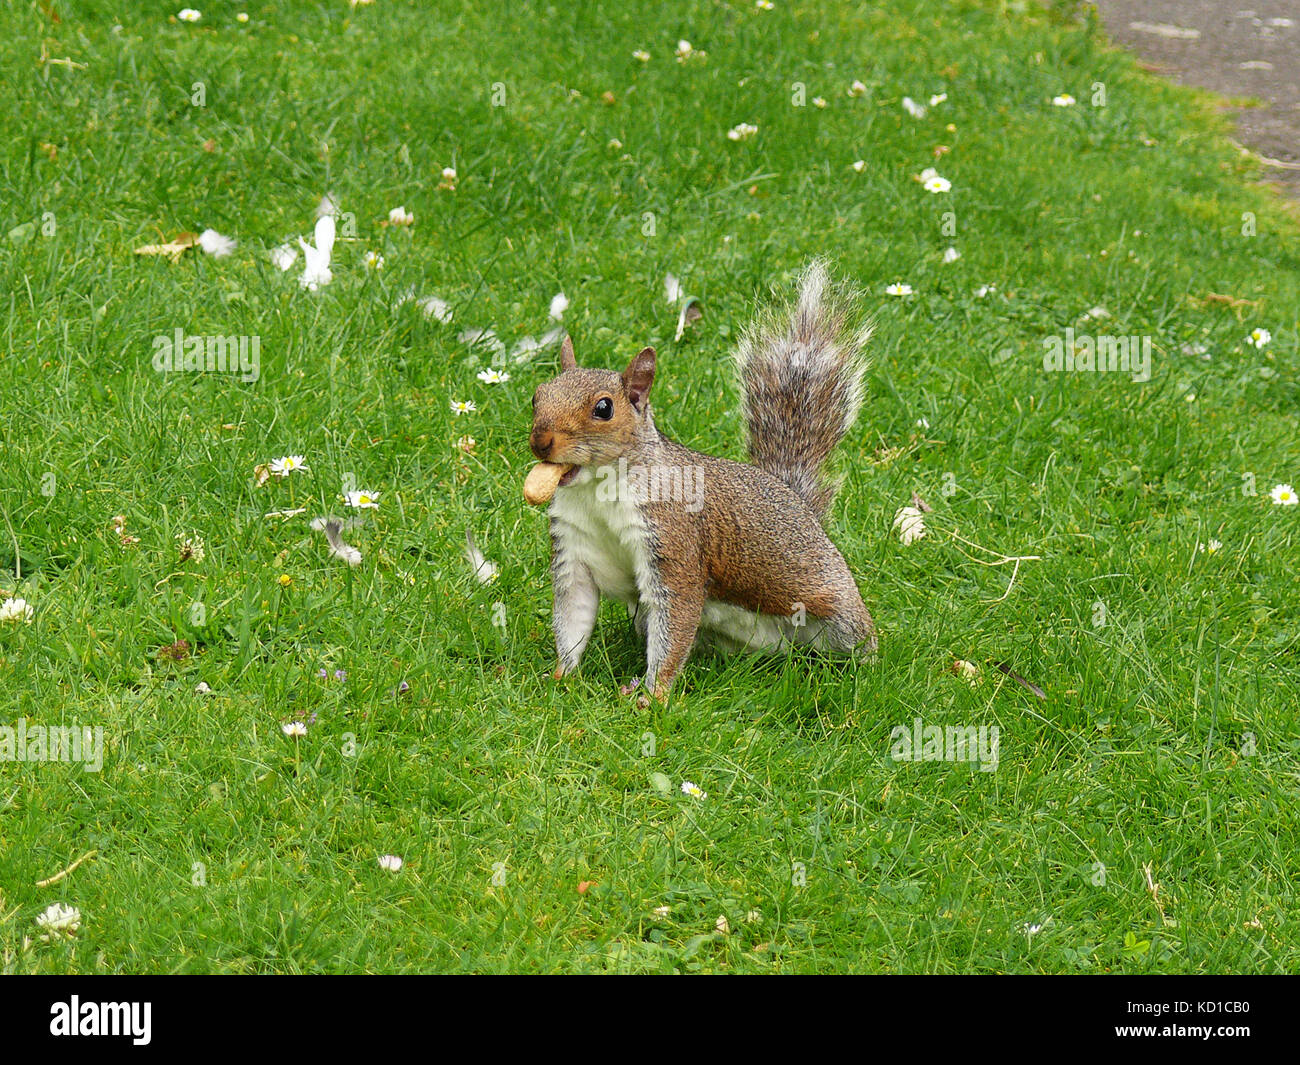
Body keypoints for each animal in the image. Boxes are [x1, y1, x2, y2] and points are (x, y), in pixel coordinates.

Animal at [528, 261, 876, 703]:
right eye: (537, 396)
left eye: (603, 408)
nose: (540, 441)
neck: (597, 489)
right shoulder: (574, 548)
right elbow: (574, 613)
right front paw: (560, 677)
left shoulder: (673, 540)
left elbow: (676, 615)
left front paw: (654, 697)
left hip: (836, 608)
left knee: (858, 638)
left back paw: (868, 667)